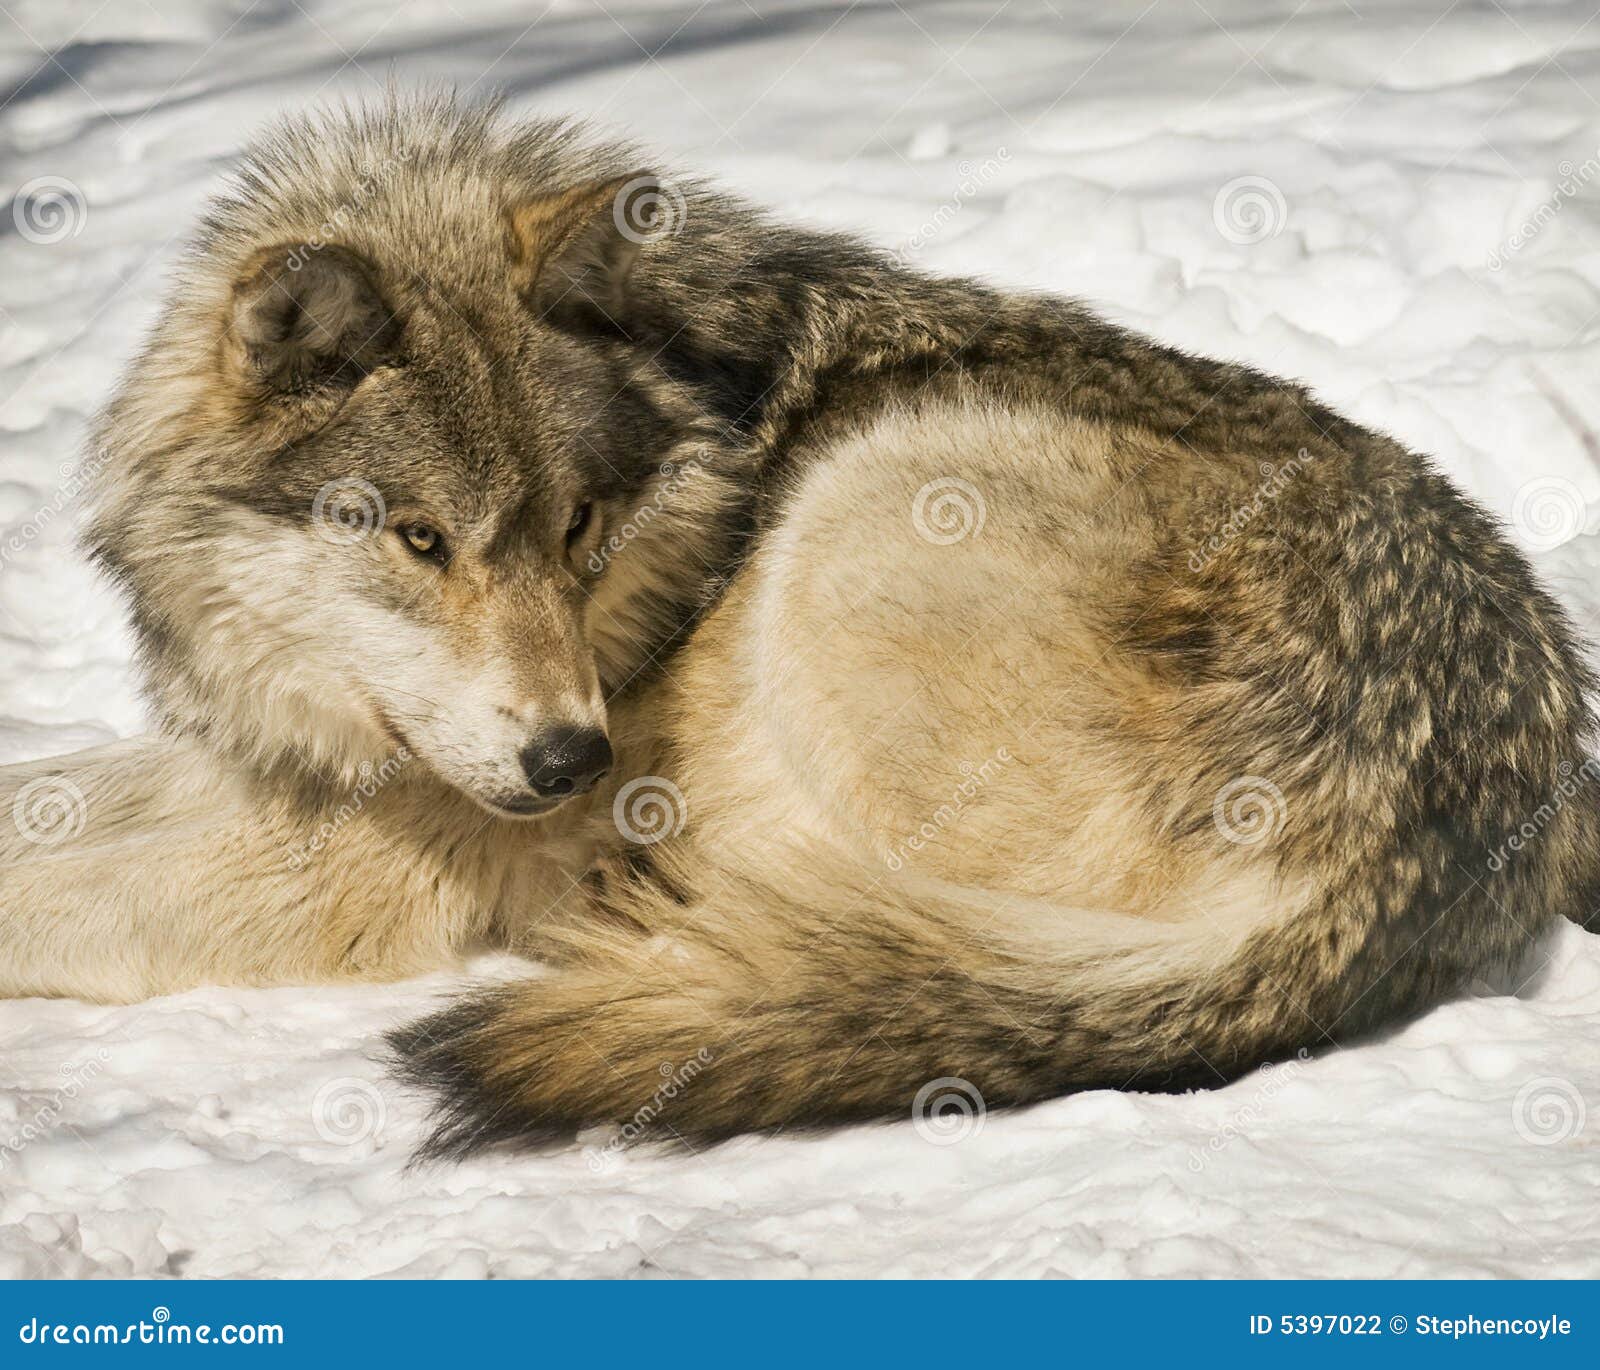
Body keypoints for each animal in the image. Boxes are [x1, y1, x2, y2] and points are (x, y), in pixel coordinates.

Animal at [1, 95, 1594, 1156]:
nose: (575, 761)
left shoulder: (414, 855)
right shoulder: (292, 772)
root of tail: (1449, 817)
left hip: (879, 505)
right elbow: (43, 803)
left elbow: (52, 896)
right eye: (419, 537)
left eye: (576, 525)